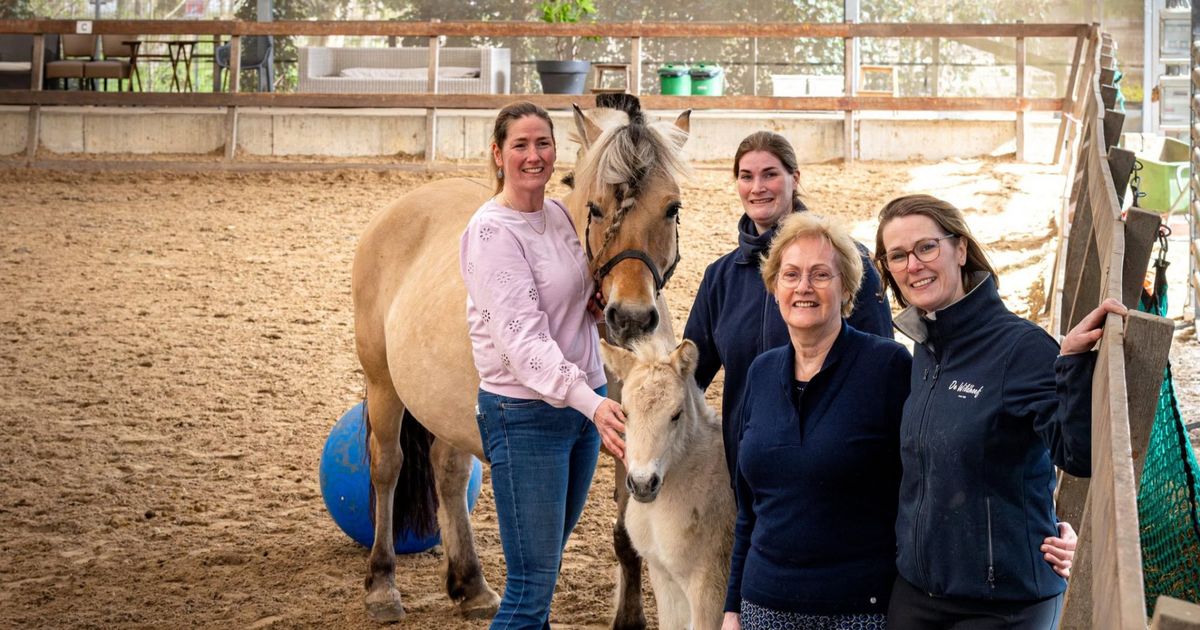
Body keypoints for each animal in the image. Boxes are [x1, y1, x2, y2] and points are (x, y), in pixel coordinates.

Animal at [350, 94, 690, 624]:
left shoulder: (635, 445)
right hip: (383, 384)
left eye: (671, 208)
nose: (631, 319)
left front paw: (629, 618)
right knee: (388, 468)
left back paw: (470, 585)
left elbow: (626, 535)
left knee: (447, 471)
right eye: (596, 208)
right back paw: (382, 584)